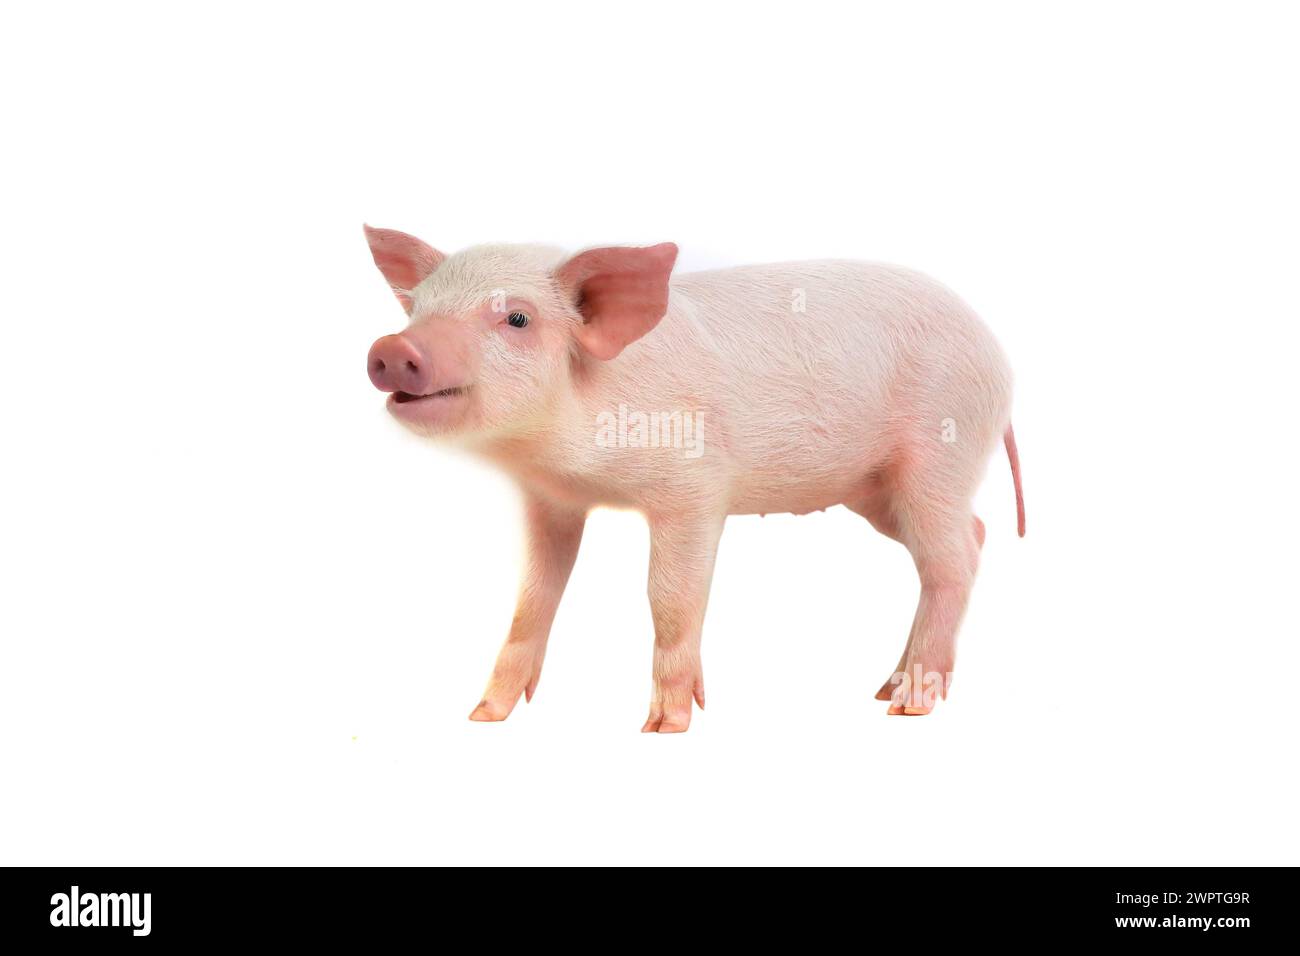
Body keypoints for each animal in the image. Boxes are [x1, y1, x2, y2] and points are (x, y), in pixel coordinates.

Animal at [363, 225, 1024, 731]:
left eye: (517, 318)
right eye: (418, 309)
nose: (393, 347)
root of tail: (998, 360)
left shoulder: (693, 488)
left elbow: (671, 596)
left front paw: (664, 726)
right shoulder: (549, 501)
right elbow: (531, 596)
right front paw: (483, 716)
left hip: (939, 453)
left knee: (953, 561)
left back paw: (908, 708)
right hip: (877, 492)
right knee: (975, 533)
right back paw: (887, 689)